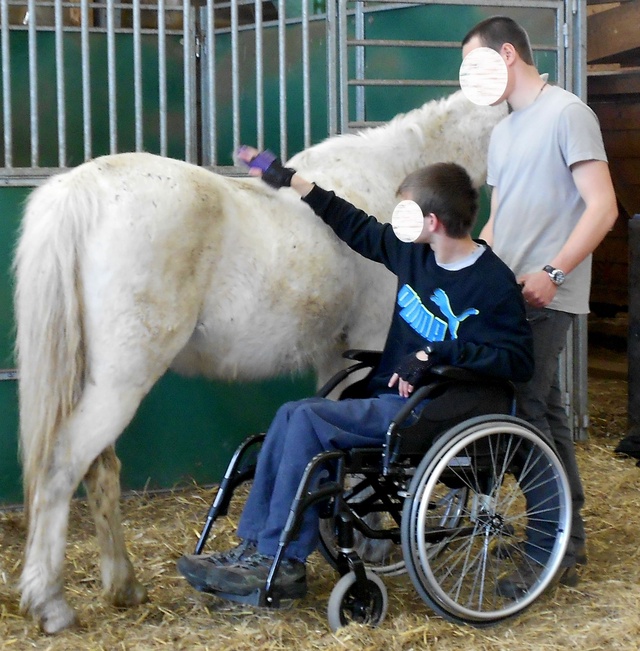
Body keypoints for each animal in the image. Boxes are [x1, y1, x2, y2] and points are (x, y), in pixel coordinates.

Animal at [12, 89, 507, 633]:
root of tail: (80, 190)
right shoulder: (375, 342)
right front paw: (374, 544)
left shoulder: (336, 354)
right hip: (121, 381)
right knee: (61, 467)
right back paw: (52, 604)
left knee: (99, 470)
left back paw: (124, 586)